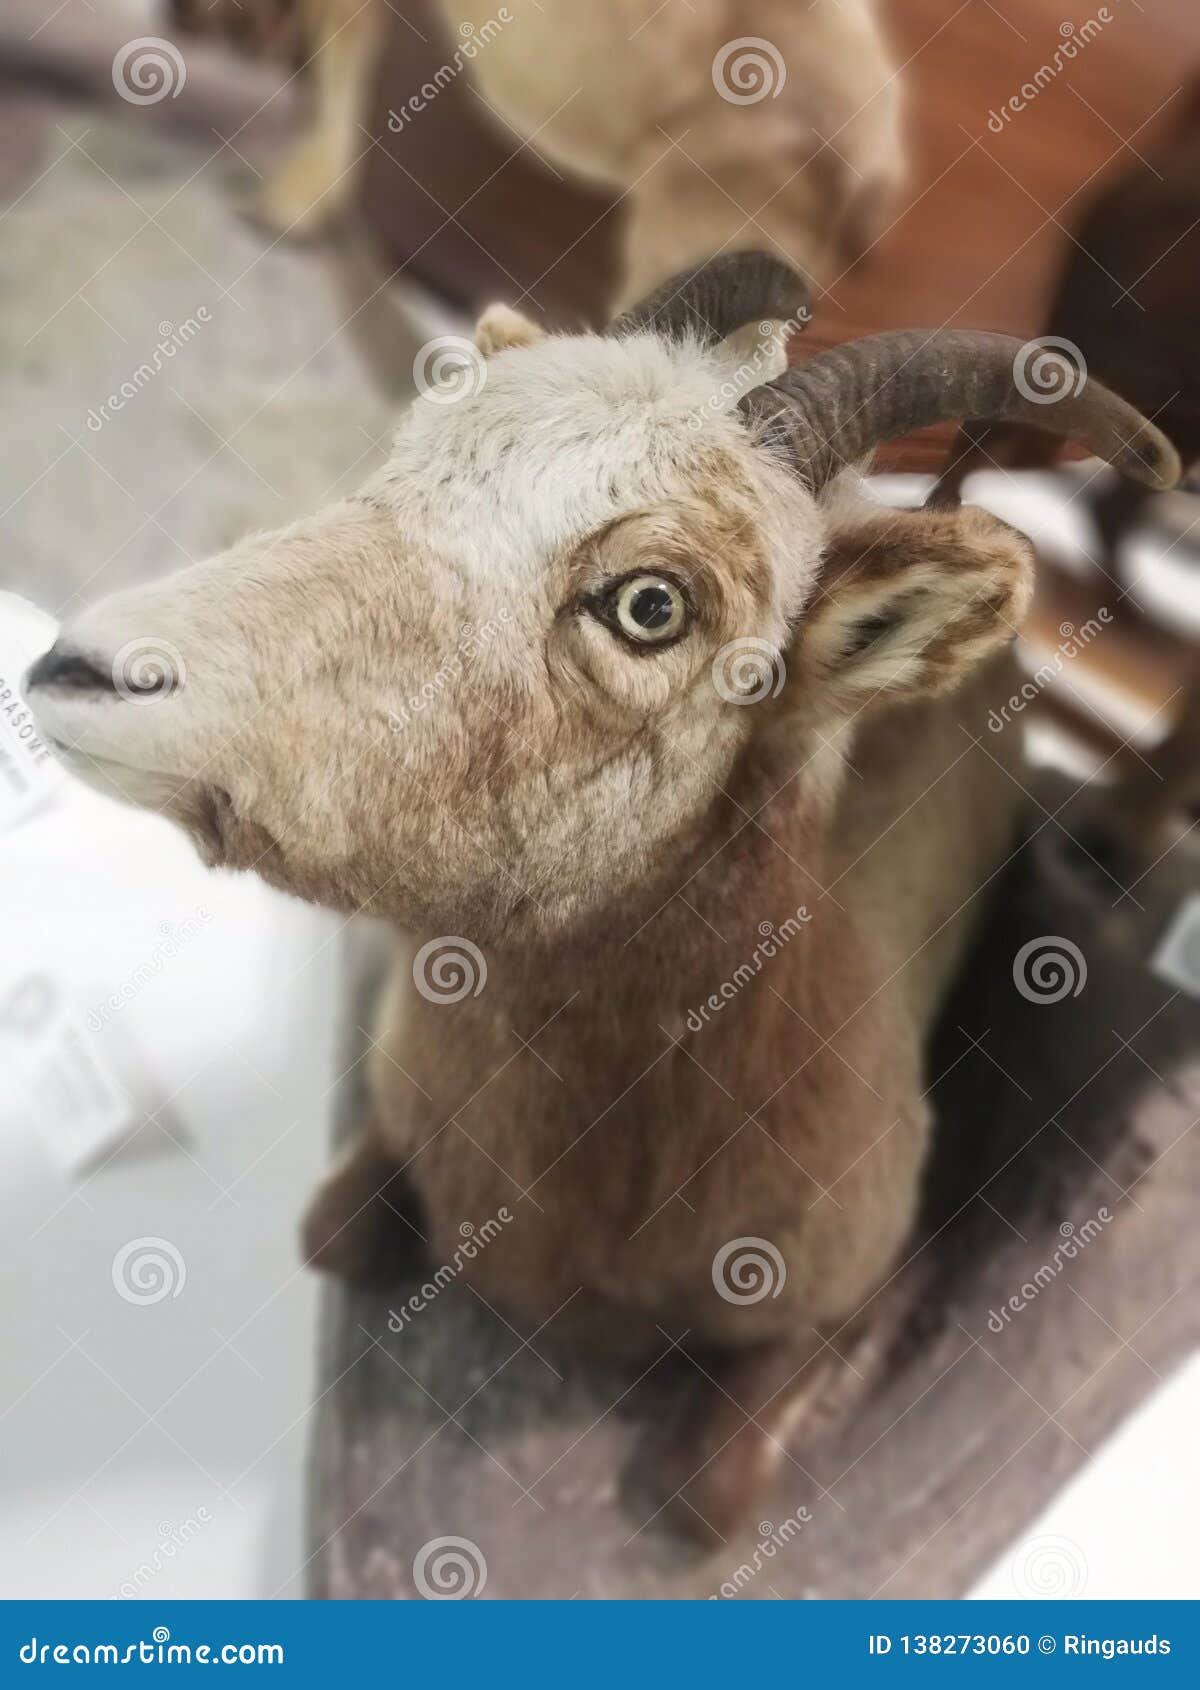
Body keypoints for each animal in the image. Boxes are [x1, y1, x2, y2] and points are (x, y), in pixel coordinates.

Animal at [27, 253, 1177, 1540]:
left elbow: (704, 1500)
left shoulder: (832, 1294)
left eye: (651, 605)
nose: (85, 668)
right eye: (412, 454)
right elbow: (328, 1236)